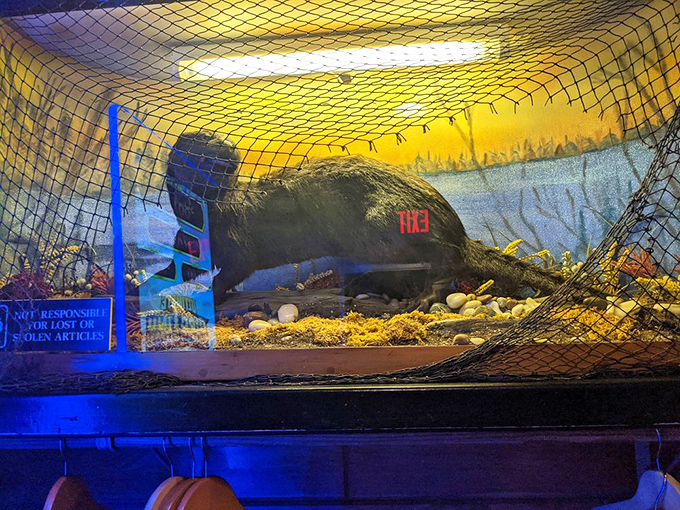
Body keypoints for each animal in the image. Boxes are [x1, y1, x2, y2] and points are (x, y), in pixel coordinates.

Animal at [161, 131, 564, 308]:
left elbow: (234, 270)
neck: (209, 215)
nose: (227, 145)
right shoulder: (188, 243)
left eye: (217, 139)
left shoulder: (238, 243)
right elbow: (180, 266)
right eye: (201, 141)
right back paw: (358, 284)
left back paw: (420, 297)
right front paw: (149, 283)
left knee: (443, 262)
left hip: (384, 223)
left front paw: (210, 295)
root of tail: (458, 229)